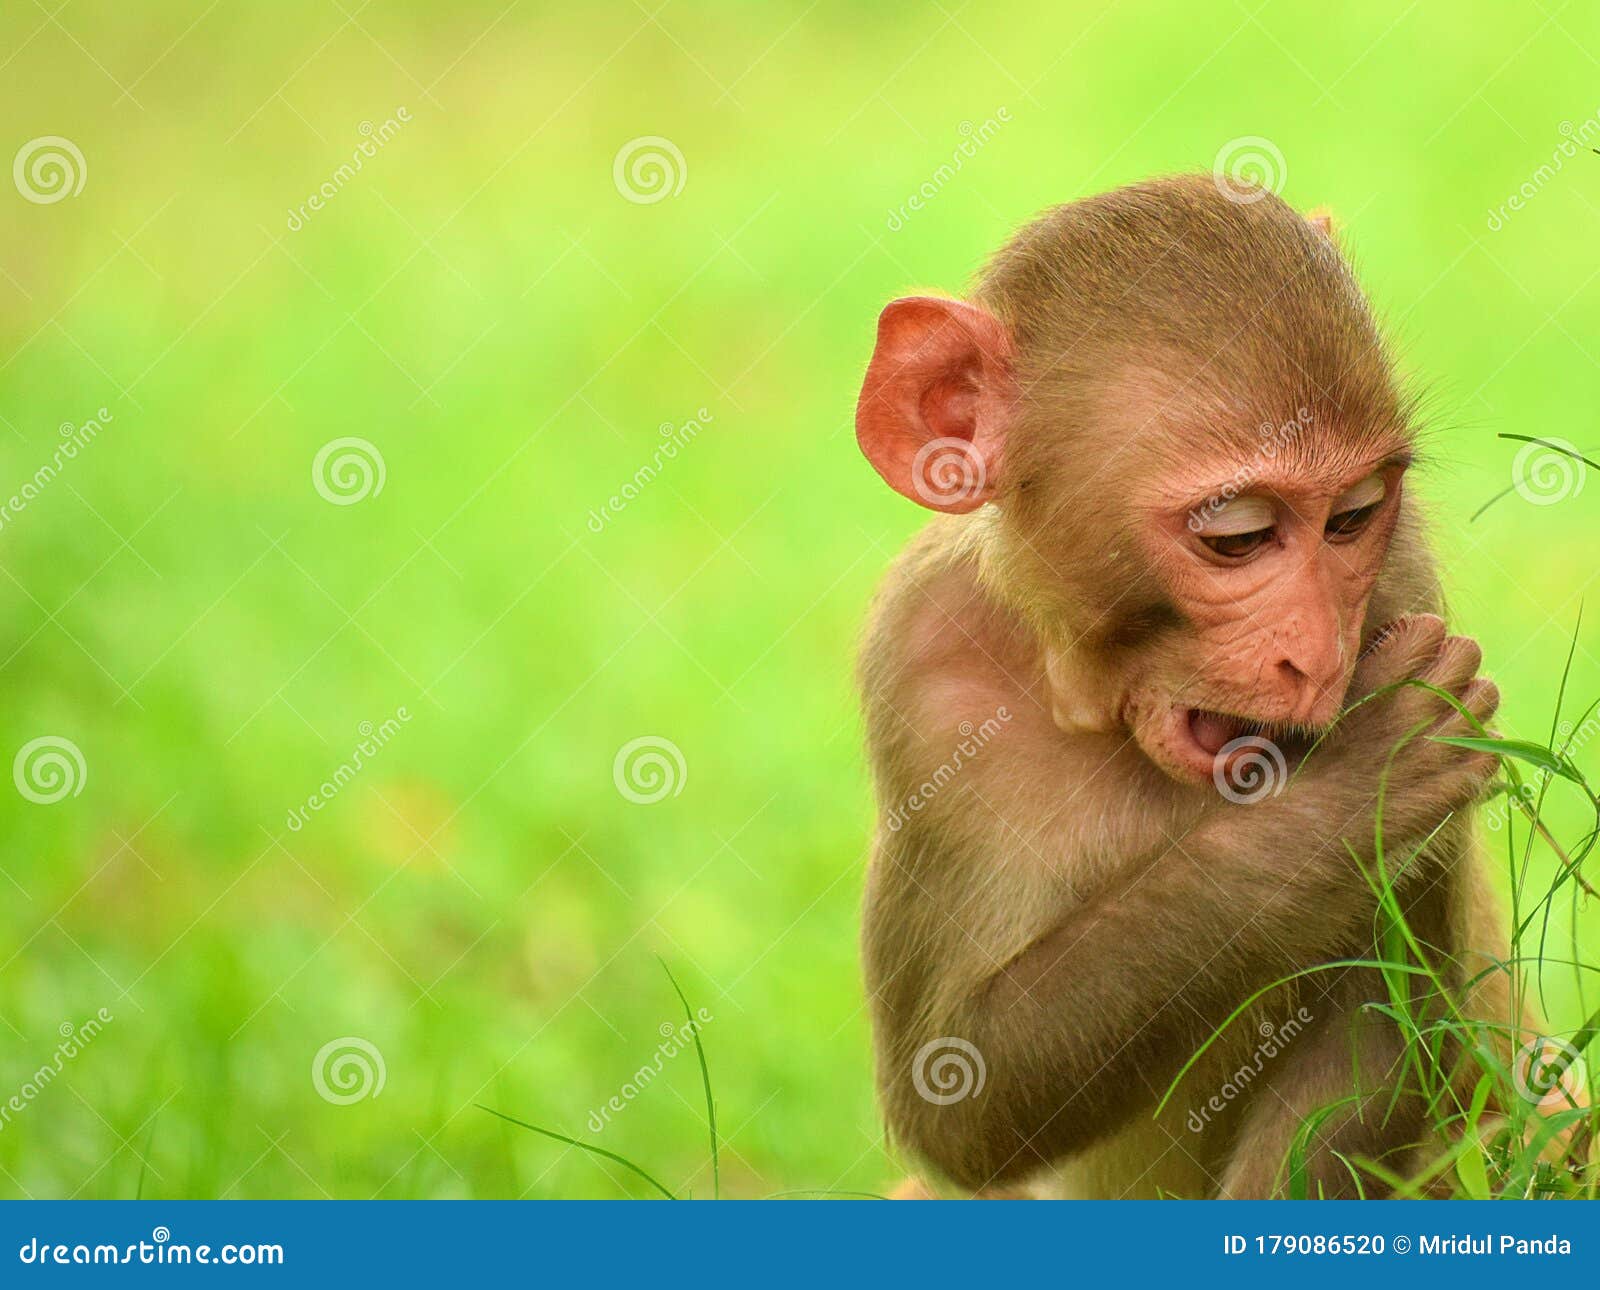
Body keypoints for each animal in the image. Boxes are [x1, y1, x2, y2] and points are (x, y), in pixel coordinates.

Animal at [852, 173, 1535, 1200]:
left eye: (1354, 517)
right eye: (1237, 536)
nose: (1319, 654)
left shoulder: (1402, 590)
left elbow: (1374, 1043)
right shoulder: (921, 673)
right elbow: (959, 1096)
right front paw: (1344, 801)